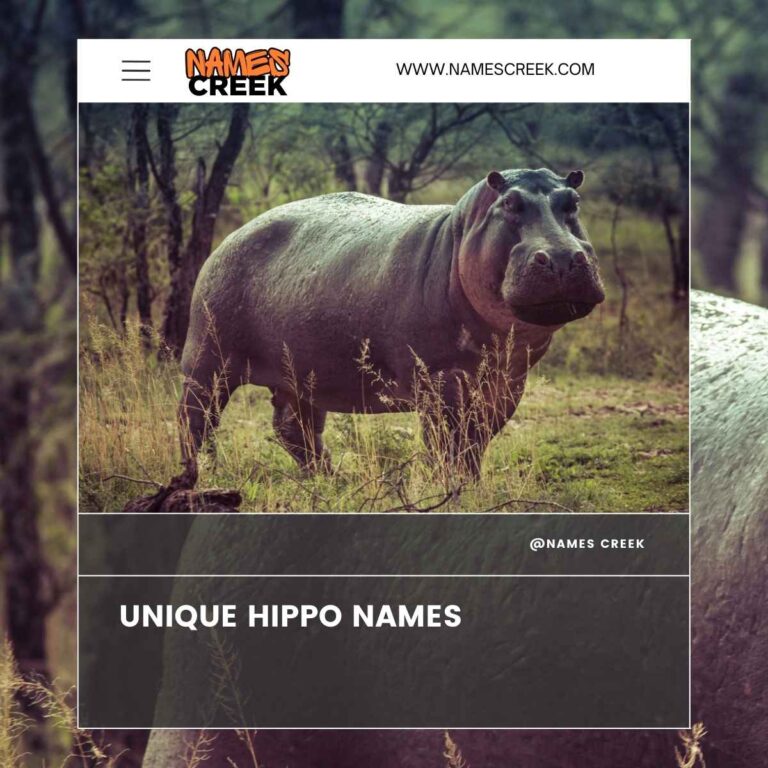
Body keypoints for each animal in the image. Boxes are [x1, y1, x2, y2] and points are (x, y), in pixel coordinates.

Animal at [178, 168, 605, 480]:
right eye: (510, 203)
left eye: (574, 202)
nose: (562, 257)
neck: (460, 234)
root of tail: (234, 234)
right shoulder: (440, 379)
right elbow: (445, 443)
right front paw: (448, 489)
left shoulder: (507, 381)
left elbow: (475, 443)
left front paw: (471, 485)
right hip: (208, 359)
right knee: (195, 419)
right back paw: (198, 477)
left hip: (300, 374)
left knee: (294, 429)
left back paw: (331, 480)